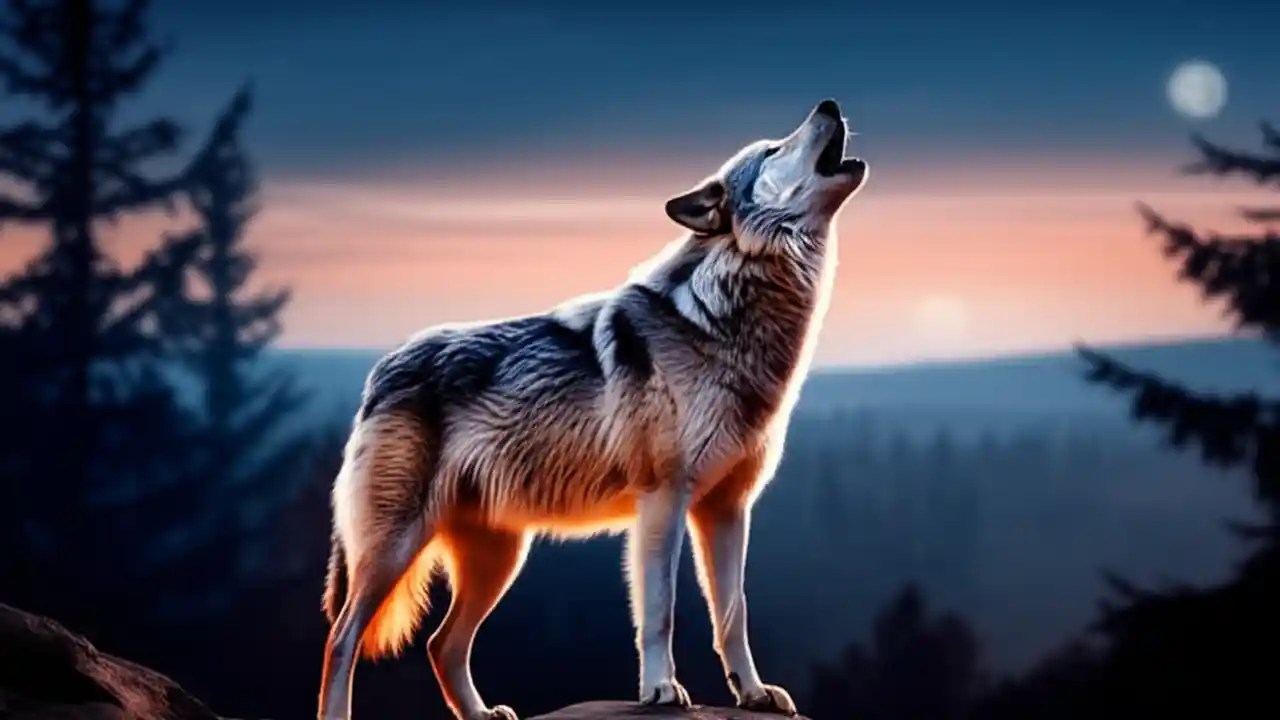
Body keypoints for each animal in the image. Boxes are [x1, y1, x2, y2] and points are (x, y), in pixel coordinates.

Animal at [317, 99, 868, 720]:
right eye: (774, 149)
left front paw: (752, 693)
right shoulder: (663, 501)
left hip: (499, 558)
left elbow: (733, 614)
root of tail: (380, 371)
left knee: (440, 644)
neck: (722, 318)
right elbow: (661, 611)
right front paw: (660, 689)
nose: (829, 103)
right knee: (342, 638)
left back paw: (483, 713)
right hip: (395, 549)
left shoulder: (728, 508)